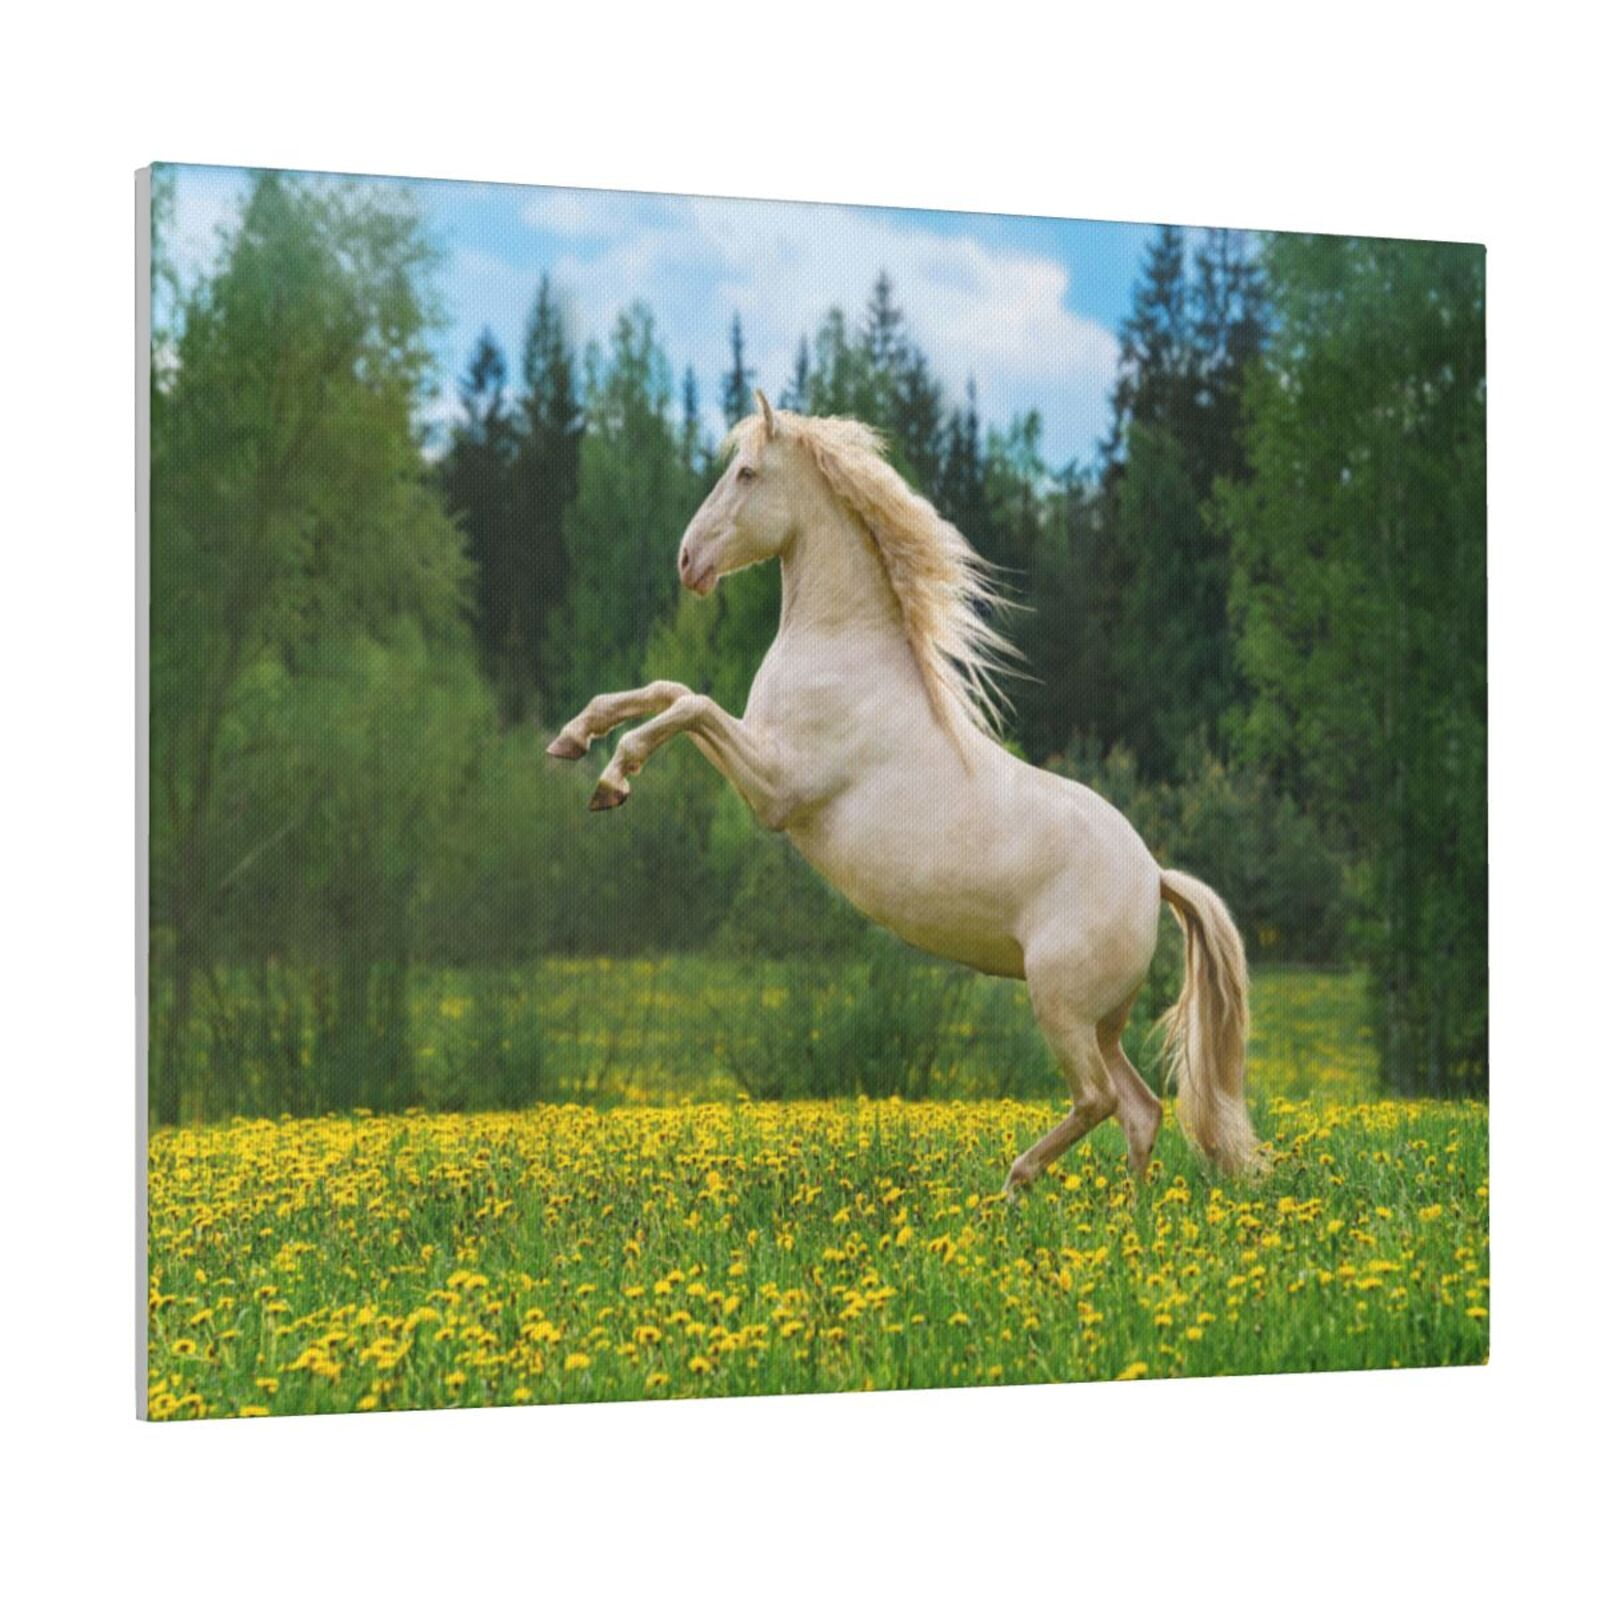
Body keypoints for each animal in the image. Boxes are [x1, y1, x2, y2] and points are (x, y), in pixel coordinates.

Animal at [548, 390, 1260, 1191]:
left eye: (747, 473)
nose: (687, 562)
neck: (843, 649)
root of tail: (1154, 877)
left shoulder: (775, 790)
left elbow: (689, 704)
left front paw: (612, 779)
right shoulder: (760, 757)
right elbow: (669, 690)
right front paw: (573, 737)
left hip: (1061, 1006)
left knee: (1100, 1100)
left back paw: (1016, 1182)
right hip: (1100, 1020)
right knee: (1141, 1111)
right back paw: (1125, 1215)